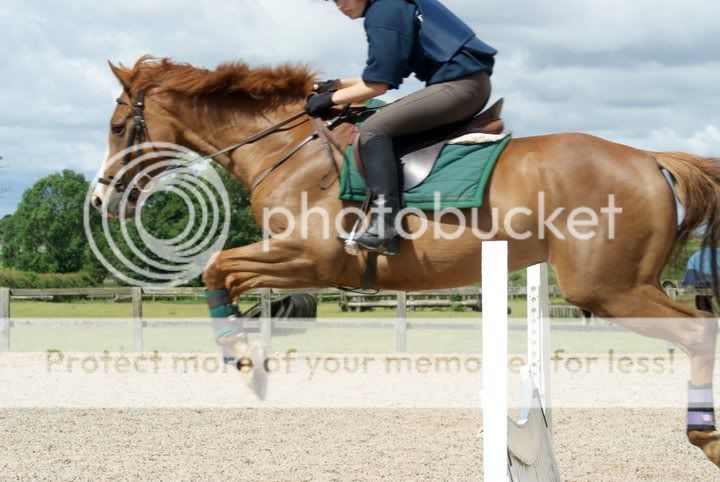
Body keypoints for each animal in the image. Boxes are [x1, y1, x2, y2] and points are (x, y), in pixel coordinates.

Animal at [91, 56, 720, 467]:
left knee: (699, 332)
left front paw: (243, 359)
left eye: (120, 127)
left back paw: (704, 437)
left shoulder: (311, 258)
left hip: (607, 288)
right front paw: (252, 338)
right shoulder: (295, 261)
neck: (285, 152)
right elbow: (231, 278)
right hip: (623, 285)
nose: (100, 202)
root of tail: (650, 159)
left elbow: (217, 268)